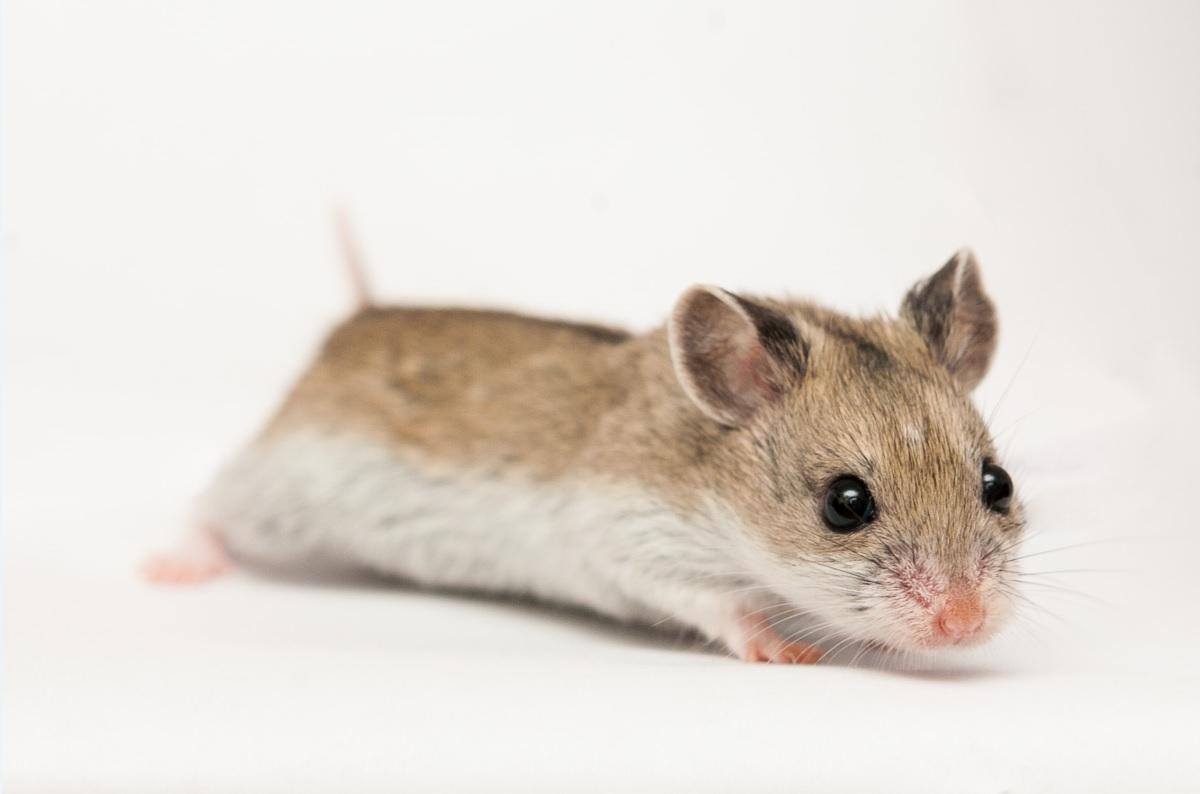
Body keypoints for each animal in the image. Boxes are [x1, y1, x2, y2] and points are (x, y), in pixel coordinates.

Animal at [146, 245, 1025, 664]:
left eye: (998, 483)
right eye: (845, 504)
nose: (968, 628)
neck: (708, 476)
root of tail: (354, 322)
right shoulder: (632, 540)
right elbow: (723, 605)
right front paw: (792, 649)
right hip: (282, 494)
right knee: (204, 502)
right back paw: (172, 569)